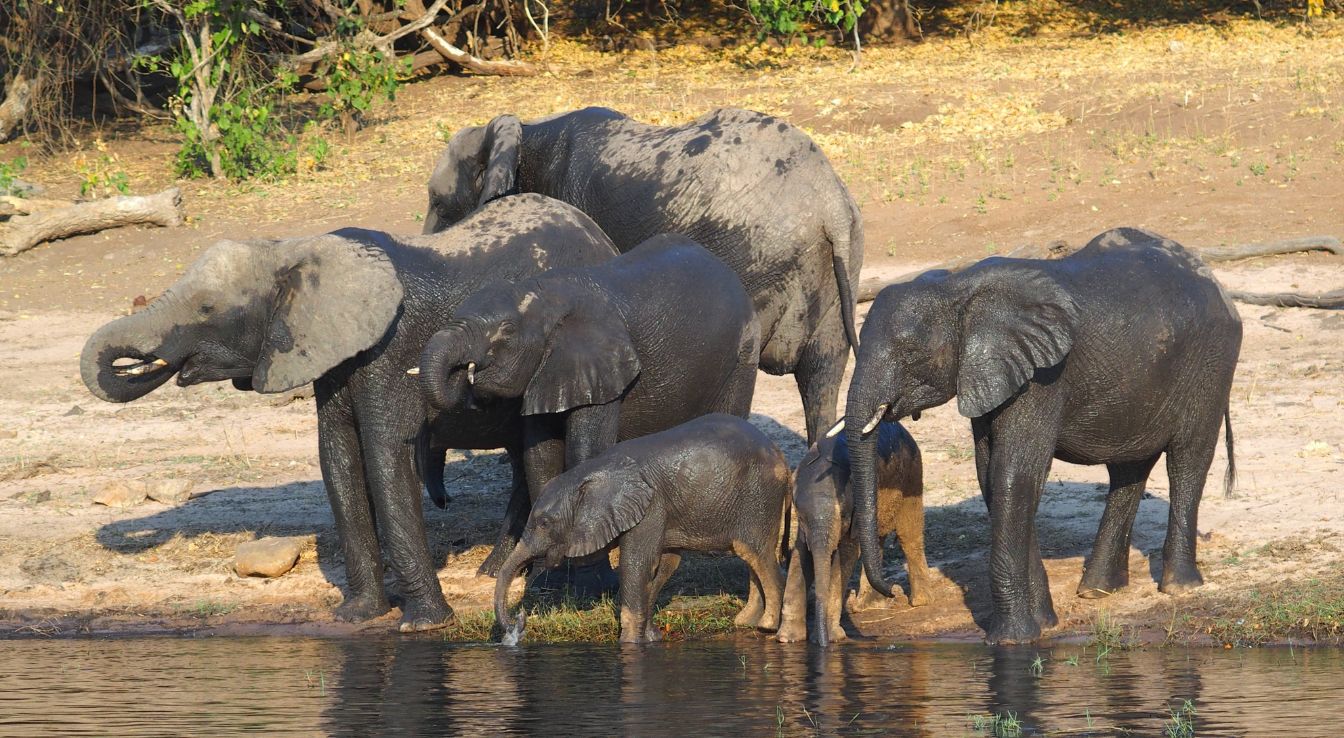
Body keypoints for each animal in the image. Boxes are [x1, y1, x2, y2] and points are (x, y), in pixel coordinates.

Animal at [80, 193, 619, 631]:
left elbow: (383, 455)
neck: (291, 250)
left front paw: (423, 625)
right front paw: (356, 617)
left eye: (208, 308)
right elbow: (336, 458)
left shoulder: (390, 348)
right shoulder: (334, 357)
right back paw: (493, 568)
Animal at [423, 106, 864, 444]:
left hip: (753, 256)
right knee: (821, 377)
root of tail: (831, 201)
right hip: (840, 266)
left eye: (438, 203)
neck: (523, 130)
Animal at [493, 414, 790, 644]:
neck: (589, 472)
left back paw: (767, 626)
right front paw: (651, 638)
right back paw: (746, 622)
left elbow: (638, 564)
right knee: (750, 555)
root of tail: (781, 457)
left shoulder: (651, 507)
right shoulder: (662, 511)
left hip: (759, 496)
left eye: (544, 523)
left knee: (755, 552)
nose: (519, 622)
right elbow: (664, 564)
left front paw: (629, 644)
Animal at [777, 421, 930, 646]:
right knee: (877, 541)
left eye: (843, 516)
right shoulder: (805, 529)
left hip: (912, 474)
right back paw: (870, 605)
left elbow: (845, 557)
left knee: (909, 534)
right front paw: (788, 639)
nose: (821, 644)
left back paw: (920, 601)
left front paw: (833, 638)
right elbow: (801, 555)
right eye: (801, 517)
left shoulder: (854, 514)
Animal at [841, 227, 1241, 644]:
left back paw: (1179, 586)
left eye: (910, 353)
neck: (958, 287)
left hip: (1211, 363)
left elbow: (1013, 475)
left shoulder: (1041, 377)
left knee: (1188, 460)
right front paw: (1045, 624)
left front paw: (1011, 640)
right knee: (1129, 470)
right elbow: (992, 476)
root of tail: (1217, 283)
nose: (892, 592)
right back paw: (1097, 591)